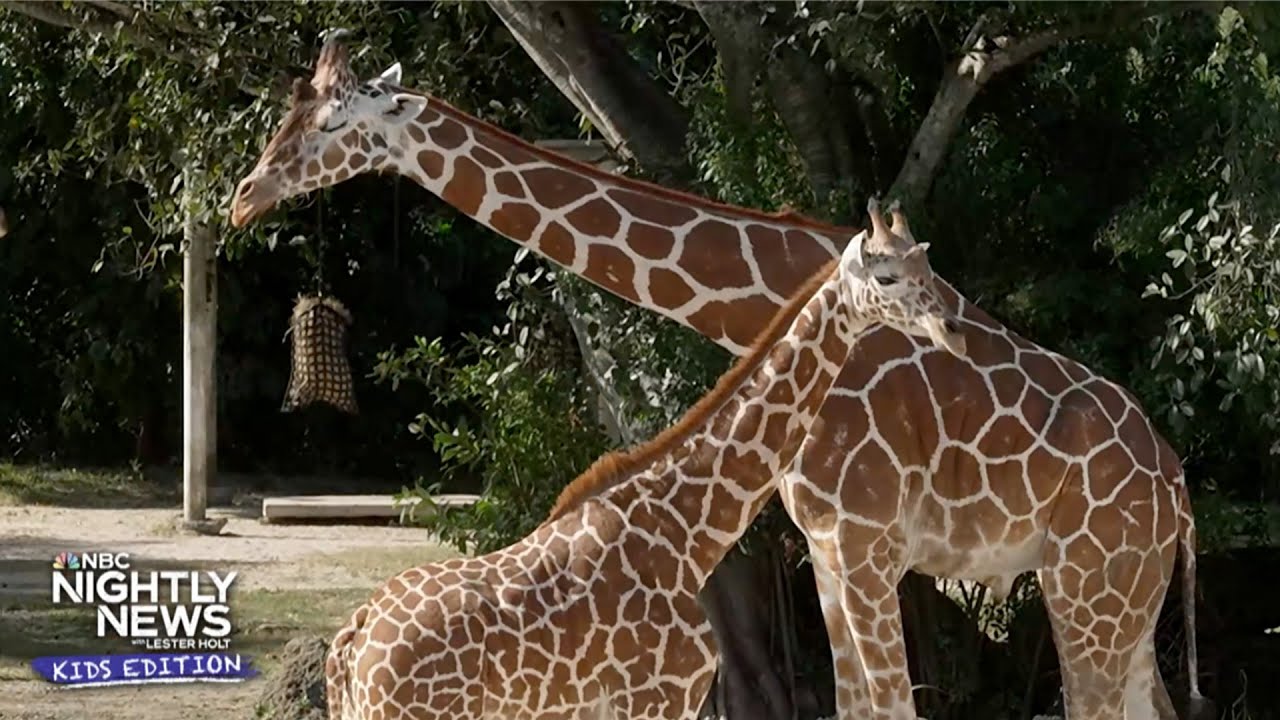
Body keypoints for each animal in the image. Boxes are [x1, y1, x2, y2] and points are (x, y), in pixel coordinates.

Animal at [318, 198, 968, 720]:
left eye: (929, 267)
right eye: (886, 275)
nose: (951, 328)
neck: (689, 534)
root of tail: (352, 642)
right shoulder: (664, 695)